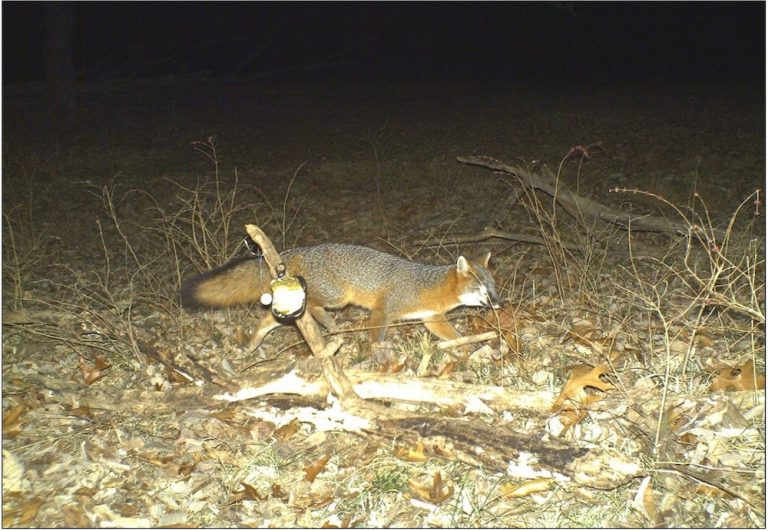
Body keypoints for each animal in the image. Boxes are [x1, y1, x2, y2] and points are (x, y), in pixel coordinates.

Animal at [181, 243, 501, 350]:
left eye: (495, 288)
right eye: (484, 292)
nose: (500, 303)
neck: (428, 286)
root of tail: (300, 249)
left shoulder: (431, 319)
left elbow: (453, 335)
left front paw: (470, 347)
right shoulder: (383, 310)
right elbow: (376, 336)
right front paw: (378, 354)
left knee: (268, 319)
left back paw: (251, 345)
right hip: (338, 298)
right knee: (311, 306)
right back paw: (328, 324)